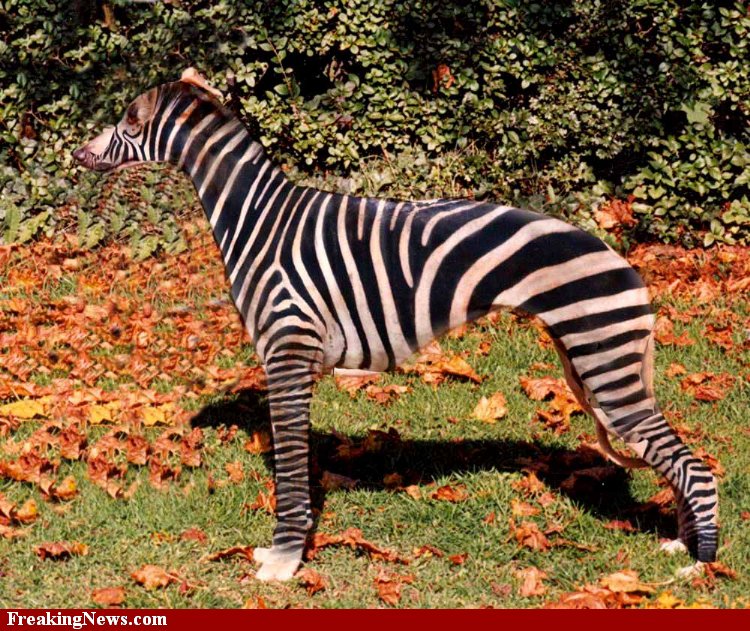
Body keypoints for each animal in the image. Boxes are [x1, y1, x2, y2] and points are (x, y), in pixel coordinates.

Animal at [73, 68, 718, 581]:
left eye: (130, 120)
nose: (77, 156)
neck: (260, 221)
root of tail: (626, 264)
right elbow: (300, 464)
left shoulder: (286, 354)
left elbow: (290, 473)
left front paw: (284, 562)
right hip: (591, 368)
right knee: (675, 462)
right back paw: (679, 544)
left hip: (605, 368)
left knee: (694, 467)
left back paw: (701, 566)